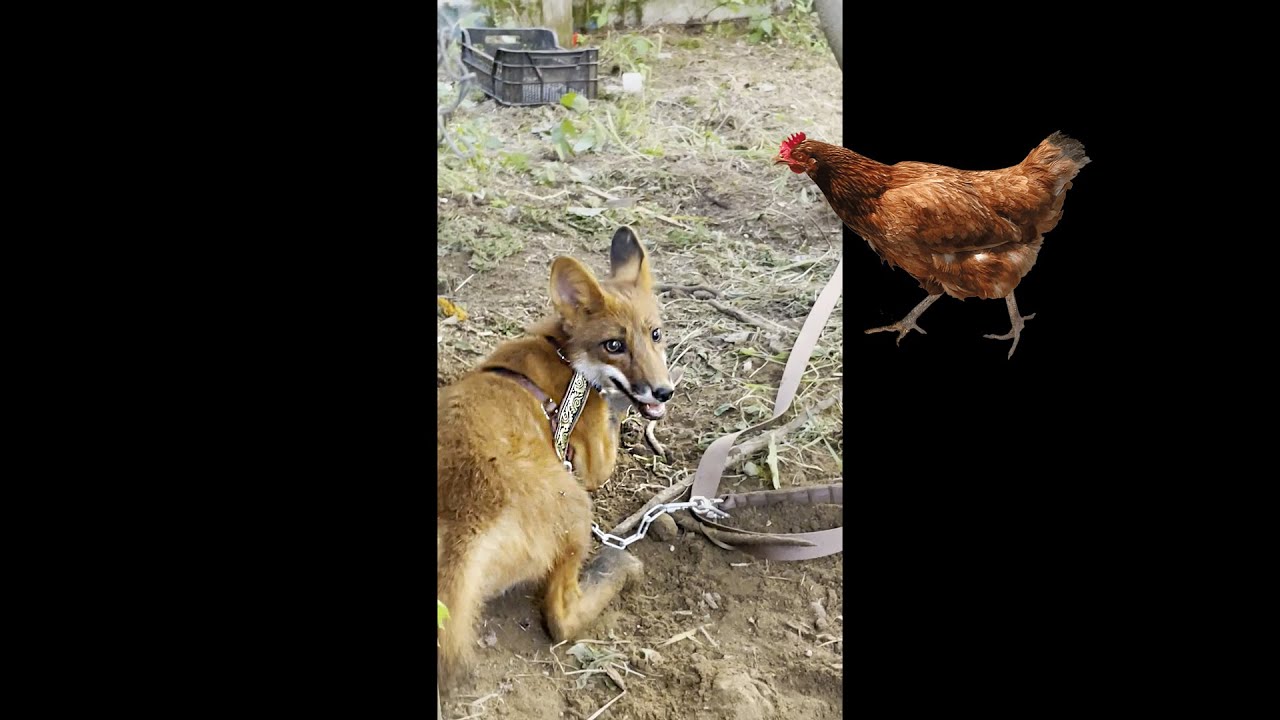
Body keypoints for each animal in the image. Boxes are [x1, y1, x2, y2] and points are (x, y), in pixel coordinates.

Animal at [436, 226, 674, 684]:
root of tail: (467, 521)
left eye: (655, 334)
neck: (562, 351)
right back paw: (616, 567)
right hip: (577, 510)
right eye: (614, 344)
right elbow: (611, 436)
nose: (663, 392)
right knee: (562, 620)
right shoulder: (595, 459)